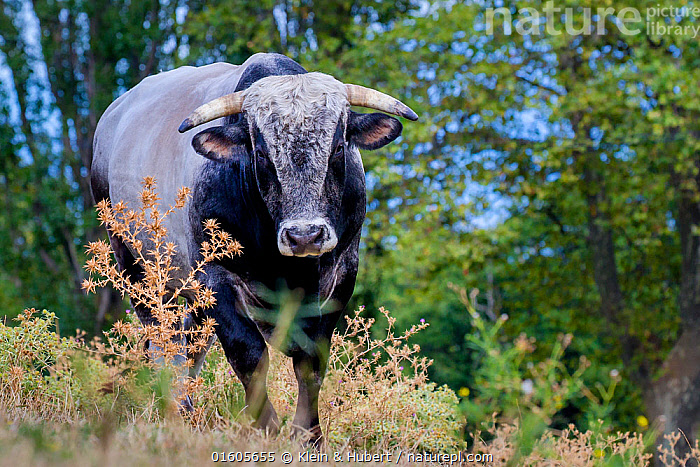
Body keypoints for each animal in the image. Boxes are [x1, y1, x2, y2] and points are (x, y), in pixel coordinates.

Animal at [91, 53, 417, 443]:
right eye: (260, 153)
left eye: (338, 148)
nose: (304, 235)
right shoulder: (217, 278)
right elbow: (248, 355)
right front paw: (267, 430)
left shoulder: (343, 273)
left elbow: (311, 364)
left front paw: (308, 436)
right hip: (137, 271)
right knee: (162, 344)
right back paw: (172, 412)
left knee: (191, 345)